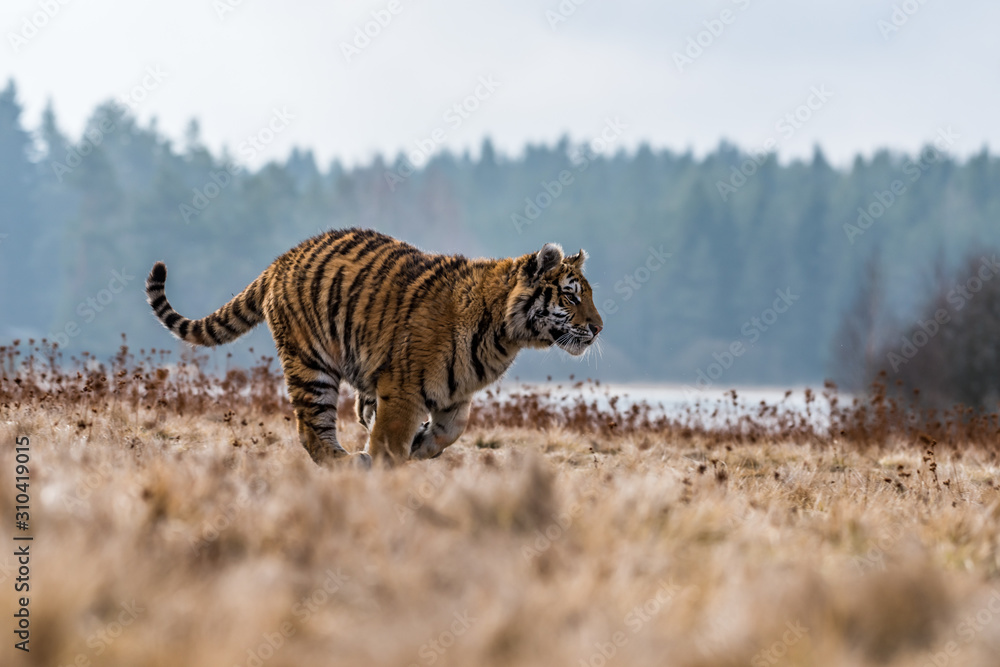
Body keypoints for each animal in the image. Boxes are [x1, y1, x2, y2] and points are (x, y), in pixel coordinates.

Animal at [145, 228, 603, 467]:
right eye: (571, 296)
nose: (598, 329)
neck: (503, 335)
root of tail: (282, 259)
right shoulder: (404, 389)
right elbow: (390, 441)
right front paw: (387, 463)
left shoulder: (455, 390)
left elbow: (452, 430)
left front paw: (422, 445)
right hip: (311, 365)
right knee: (311, 429)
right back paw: (348, 462)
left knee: (354, 409)